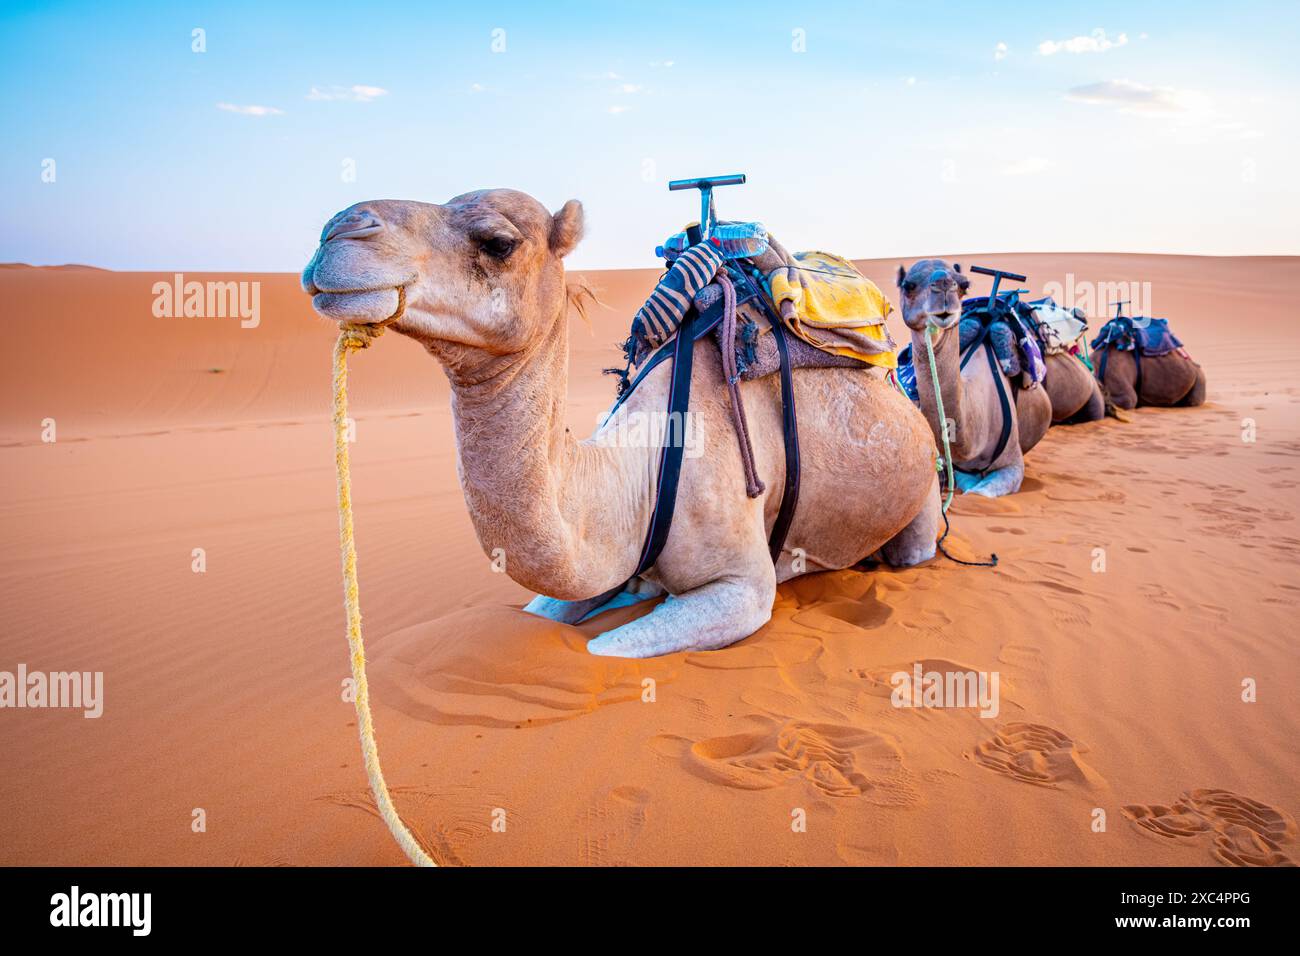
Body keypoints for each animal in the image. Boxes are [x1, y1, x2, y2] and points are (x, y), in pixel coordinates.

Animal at [303, 189, 942, 658]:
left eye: (498, 242)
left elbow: (600, 650)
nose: (338, 229)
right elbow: (546, 612)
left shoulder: (743, 589)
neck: (637, 475)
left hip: (923, 505)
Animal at [897, 260, 1052, 497]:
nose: (943, 284)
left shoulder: (1012, 464)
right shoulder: (957, 466)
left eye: (964, 285)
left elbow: (979, 493)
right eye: (908, 285)